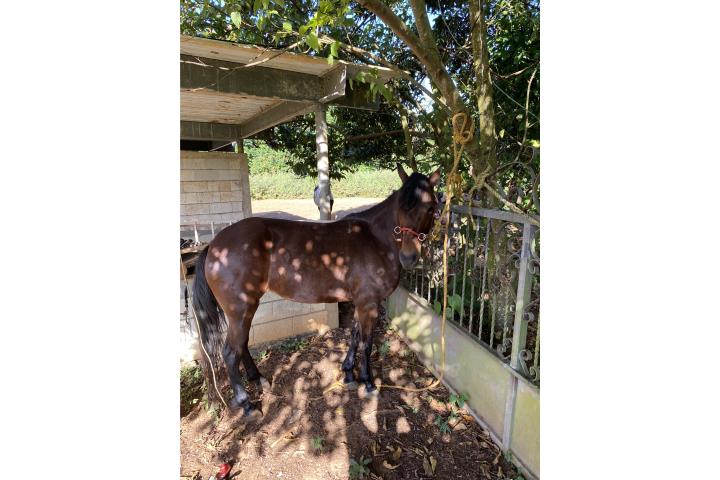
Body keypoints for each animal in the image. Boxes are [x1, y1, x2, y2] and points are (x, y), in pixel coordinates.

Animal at [192, 164, 440, 418]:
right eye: (401, 205)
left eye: (430, 208)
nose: (409, 257)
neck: (375, 239)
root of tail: (214, 246)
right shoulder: (369, 303)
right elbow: (366, 343)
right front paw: (368, 383)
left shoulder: (360, 302)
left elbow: (355, 336)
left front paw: (348, 374)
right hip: (241, 310)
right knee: (230, 352)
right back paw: (247, 405)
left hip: (244, 310)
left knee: (241, 345)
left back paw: (259, 379)